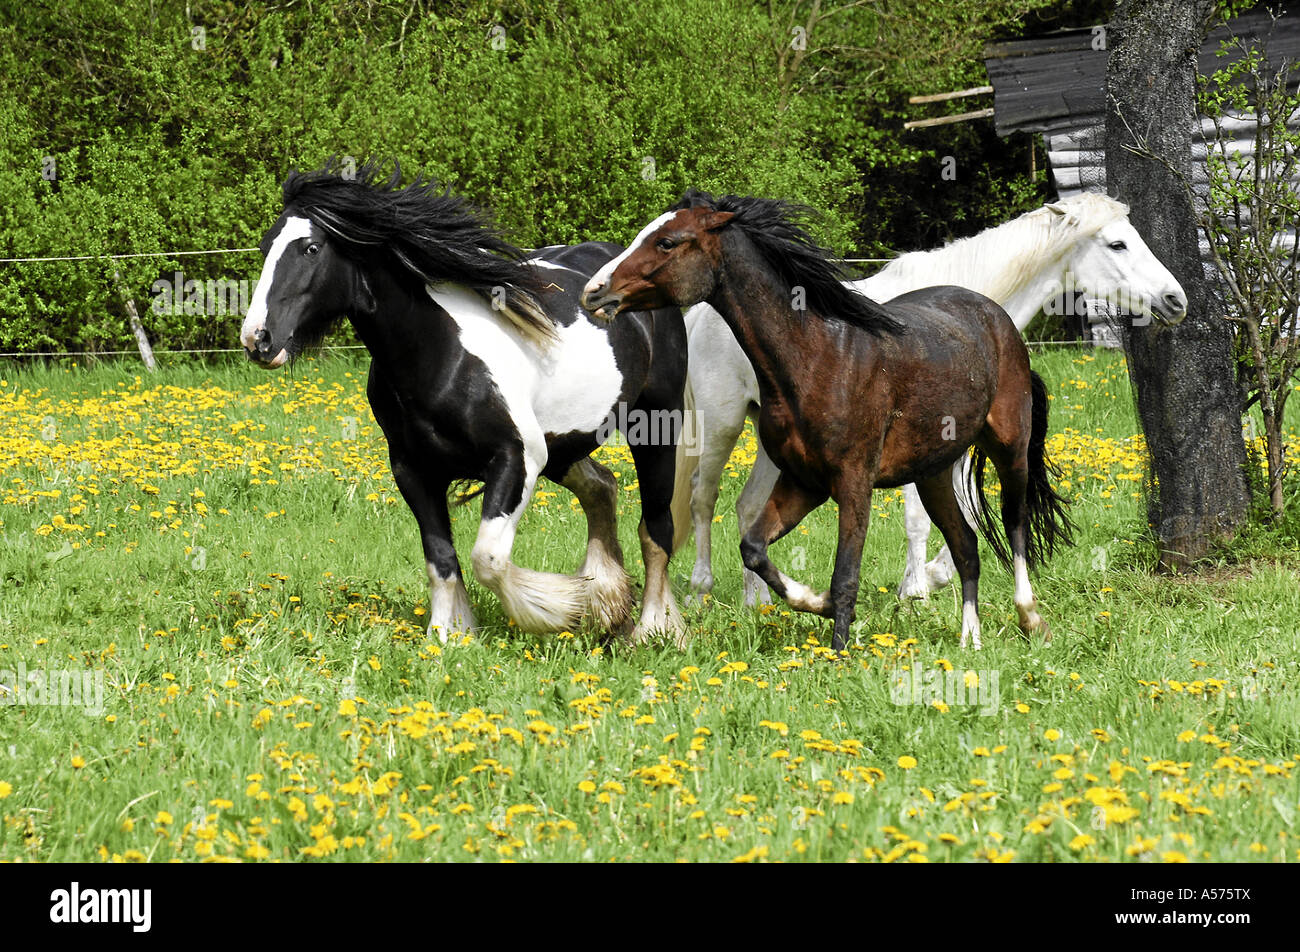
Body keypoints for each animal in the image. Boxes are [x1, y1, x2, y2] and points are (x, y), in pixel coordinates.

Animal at [239, 162, 692, 646]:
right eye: (266, 246)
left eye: (310, 248)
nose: (257, 339)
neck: (439, 352)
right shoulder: (413, 469)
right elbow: (440, 558)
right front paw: (446, 636)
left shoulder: (517, 458)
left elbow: (487, 560)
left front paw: (562, 609)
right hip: (564, 443)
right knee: (602, 487)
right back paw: (609, 606)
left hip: (654, 424)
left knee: (656, 527)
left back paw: (653, 628)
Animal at [582, 192, 1077, 652]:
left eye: (666, 242)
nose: (594, 291)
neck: (817, 357)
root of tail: (998, 319)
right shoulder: (805, 483)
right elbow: (754, 548)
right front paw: (811, 602)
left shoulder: (854, 483)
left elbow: (845, 576)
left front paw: (839, 648)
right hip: (933, 472)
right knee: (966, 547)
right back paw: (969, 639)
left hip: (1009, 449)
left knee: (1014, 523)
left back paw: (1031, 618)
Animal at [678, 194, 1187, 607]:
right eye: (1117, 244)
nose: (1176, 299)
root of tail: (702, 311)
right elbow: (917, 518)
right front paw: (916, 589)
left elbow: (967, 512)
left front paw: (934, 576)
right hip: (722, 423)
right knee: (704, 497)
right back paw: (701, 591)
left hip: (773, 440)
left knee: (747, 507)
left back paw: (758, 601)